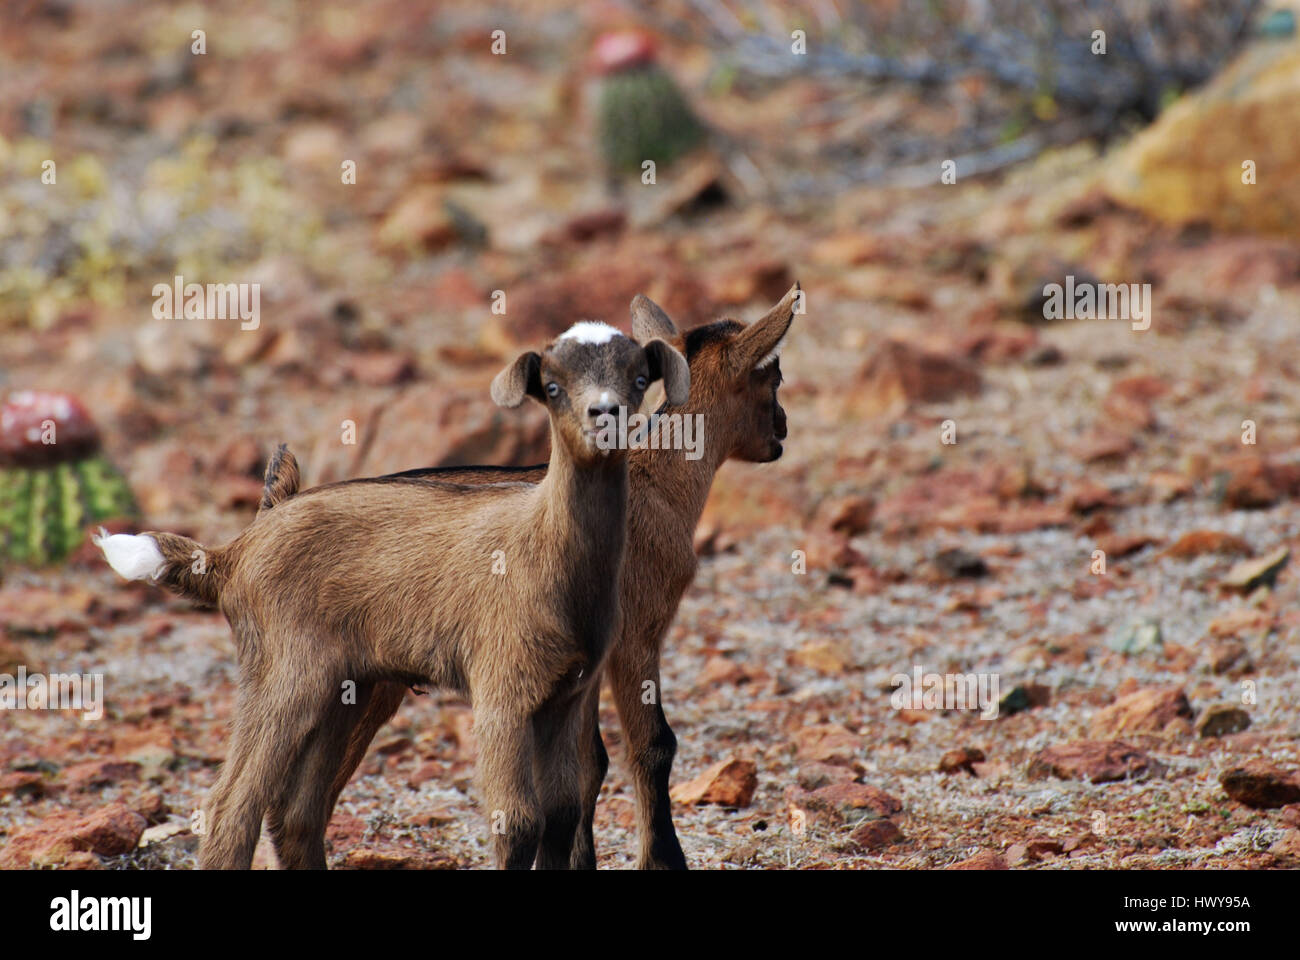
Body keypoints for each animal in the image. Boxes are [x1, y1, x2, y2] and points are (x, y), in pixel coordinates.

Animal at [97, 324, 689, 869]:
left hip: (345, 687)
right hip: (283, 673)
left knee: (298, 813)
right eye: (553, 386)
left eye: (640, 379)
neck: (543, 545)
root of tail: (234, 552)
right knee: (231, 806)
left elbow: (563, 813)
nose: (605, 414)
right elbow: (519, 822)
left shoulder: (568, 694)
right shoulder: (501, 691)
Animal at [263, 283, 800, 869]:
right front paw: (663, 859)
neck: (657, 478)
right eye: (773, 377)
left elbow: (586, 765)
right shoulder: (636, 634)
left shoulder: (583, 660)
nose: (782, 431)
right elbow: (652, 746)